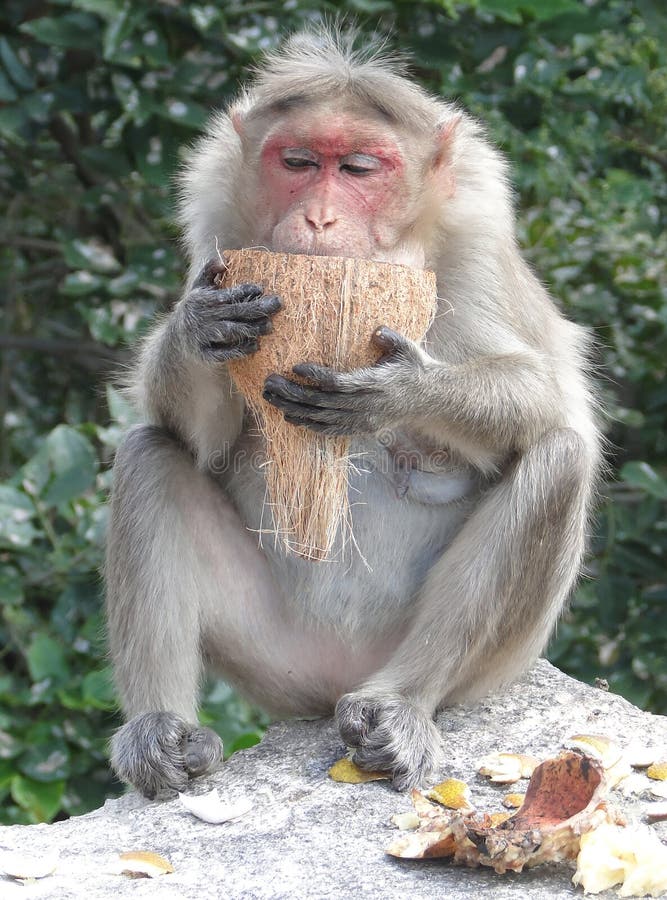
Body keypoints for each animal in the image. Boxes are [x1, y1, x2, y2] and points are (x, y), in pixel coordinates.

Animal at [105, 29, 601, 799]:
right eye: (299, 162)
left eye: (361, 168)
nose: (318, 217)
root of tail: (335, 680)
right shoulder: (219, 237)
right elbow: (197, 434)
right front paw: (197, 327)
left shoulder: (480, 242)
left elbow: (545, 394)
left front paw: (399, 392)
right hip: (274, 655)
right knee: (150, 453)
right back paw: (162, 731)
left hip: (468, 667)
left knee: (557, 458)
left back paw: (398, 706)